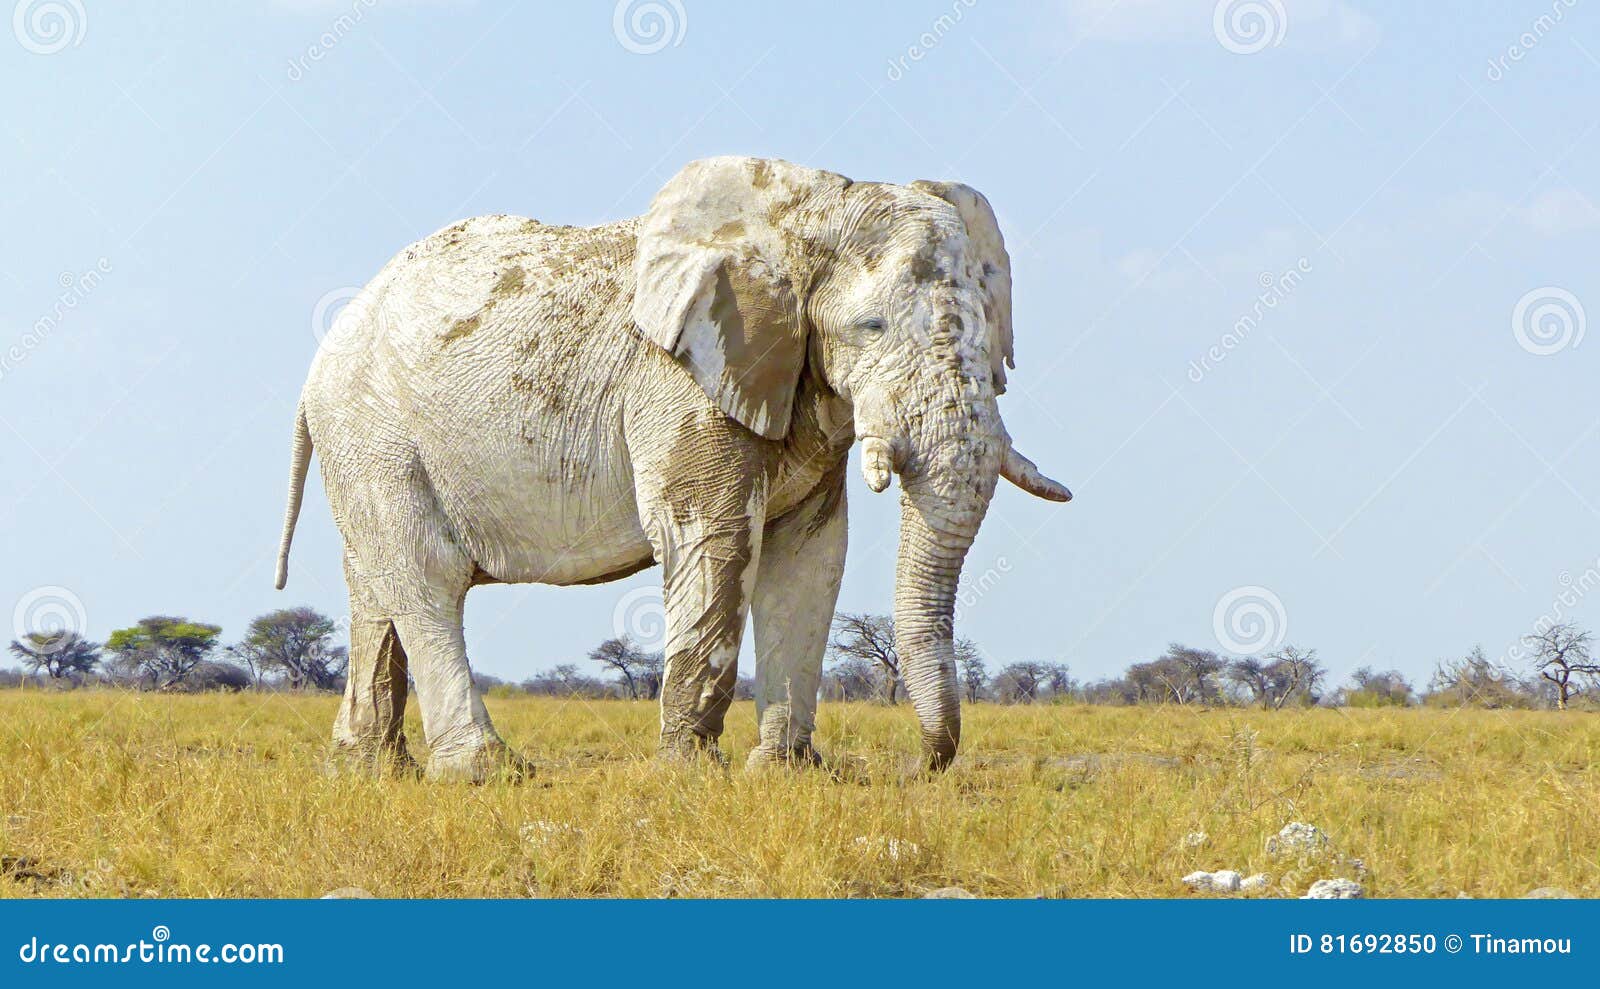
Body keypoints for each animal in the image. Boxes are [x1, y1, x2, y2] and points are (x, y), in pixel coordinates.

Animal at [273, 156, 1070, 781]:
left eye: (992, 331)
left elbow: (811, 555)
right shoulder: (680, 377)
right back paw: (483, 771)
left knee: (376, 587)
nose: (916, 767)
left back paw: (368, 771)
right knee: (425, 574)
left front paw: (785, 773)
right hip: (374, 433)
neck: (809, 209)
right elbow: (712, 536)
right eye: (869, 328)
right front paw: (692, 772)